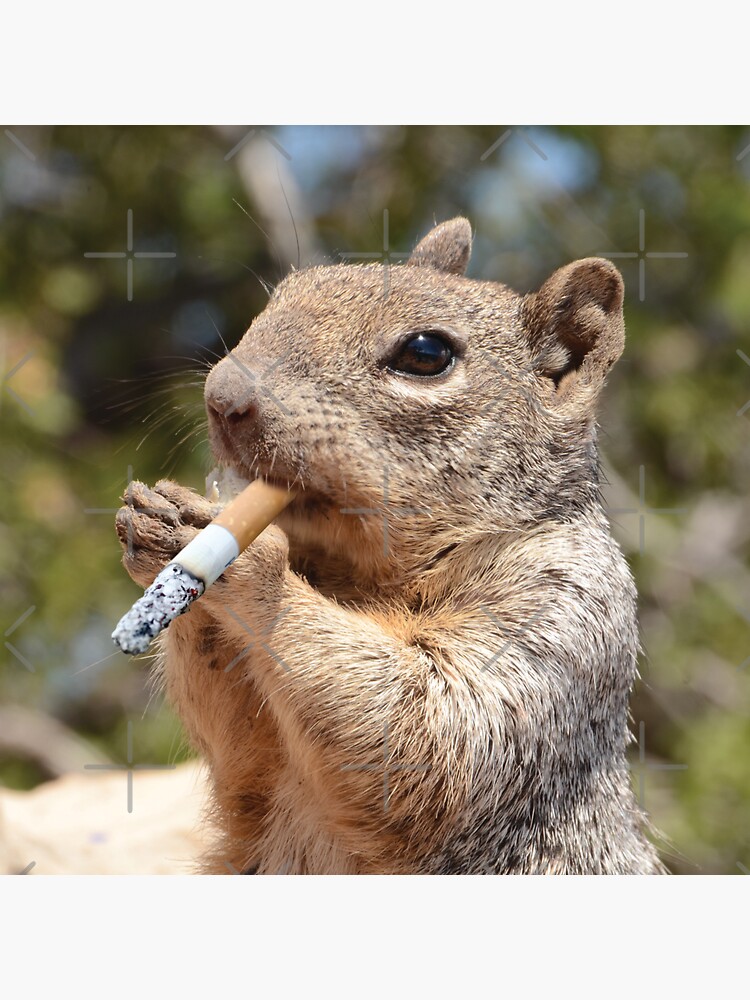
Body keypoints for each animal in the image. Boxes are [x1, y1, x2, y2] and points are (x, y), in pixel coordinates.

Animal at [116, 218, 665, 874]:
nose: (221, 398)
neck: (360, 574)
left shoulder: (564, 613)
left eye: (426, 353)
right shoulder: (255, 766)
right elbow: (236, 743)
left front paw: (245, 556)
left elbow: (434, 737)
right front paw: (160, 514)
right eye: (281, 296)